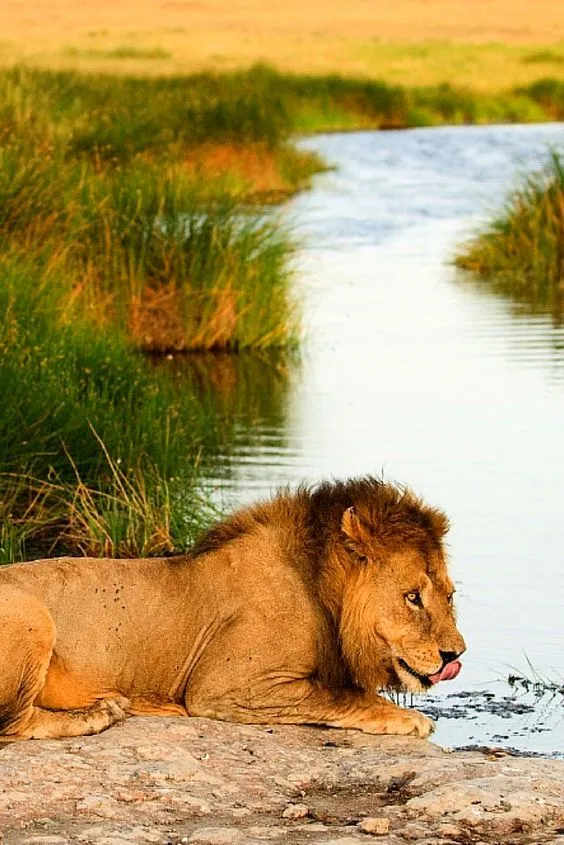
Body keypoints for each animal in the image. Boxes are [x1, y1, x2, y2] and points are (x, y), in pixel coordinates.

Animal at [0, 476, 465, 741]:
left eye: (449, 595)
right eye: (413, 597)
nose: (455, 655)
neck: (320, 589)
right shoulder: (226, 687)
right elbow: (340, 695)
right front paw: (411, 719)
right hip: (32, 616)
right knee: (13, 725)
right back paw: (96, 715)